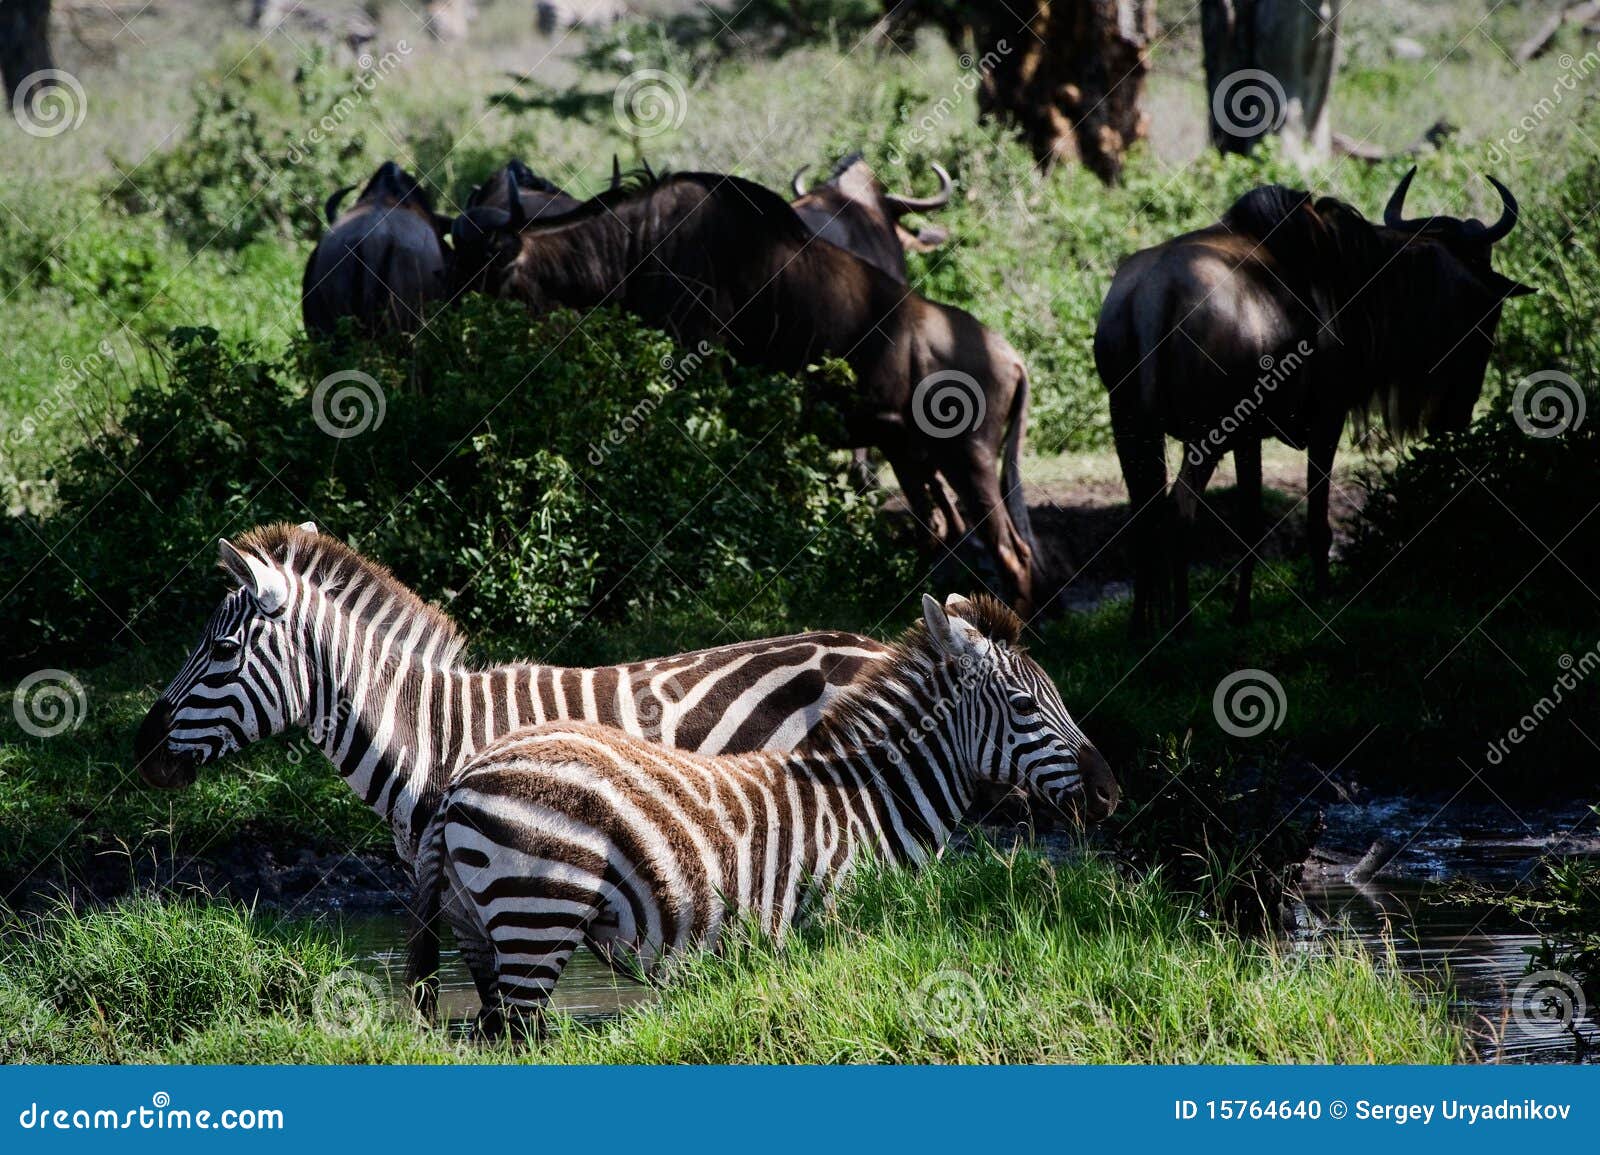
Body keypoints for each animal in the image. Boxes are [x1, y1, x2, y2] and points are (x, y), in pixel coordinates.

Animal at [132, 522, 891, 1008]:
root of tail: (876, 646)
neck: (438, 738)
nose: (142, 751)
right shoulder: (464, 898)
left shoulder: (516, 878)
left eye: (222, 649)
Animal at [414, 592, 1119, 1037]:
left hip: (480, 923)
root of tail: (465, 777)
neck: (871, 799)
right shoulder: (840, 927)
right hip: (537, 916)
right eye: (1026, 705)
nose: (1111, 792)